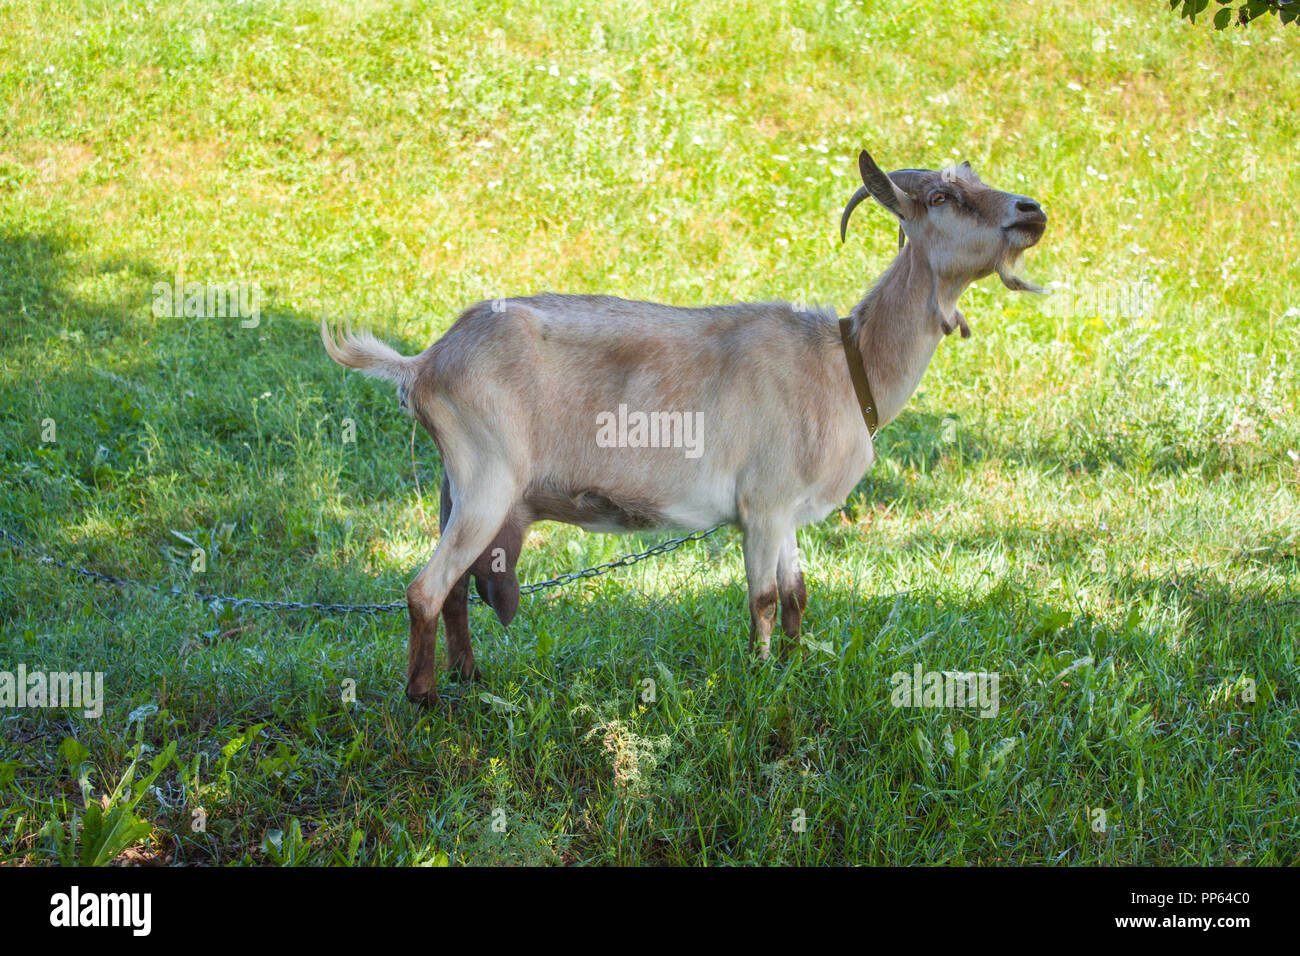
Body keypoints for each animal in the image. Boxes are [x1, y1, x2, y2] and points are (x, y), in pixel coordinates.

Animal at [322, 149, 1047, 704]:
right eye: (945, 194)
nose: (1031, 211)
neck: (847, 364)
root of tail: (424, 362)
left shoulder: (787, 510)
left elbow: (797, 594)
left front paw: (796, 667)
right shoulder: (764, 503)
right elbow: (763, 598)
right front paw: (761, 681)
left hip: (457, 490)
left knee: (454, 594)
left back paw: (471, 678)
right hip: (487, 478)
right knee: (426, 588)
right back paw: (426, 698)